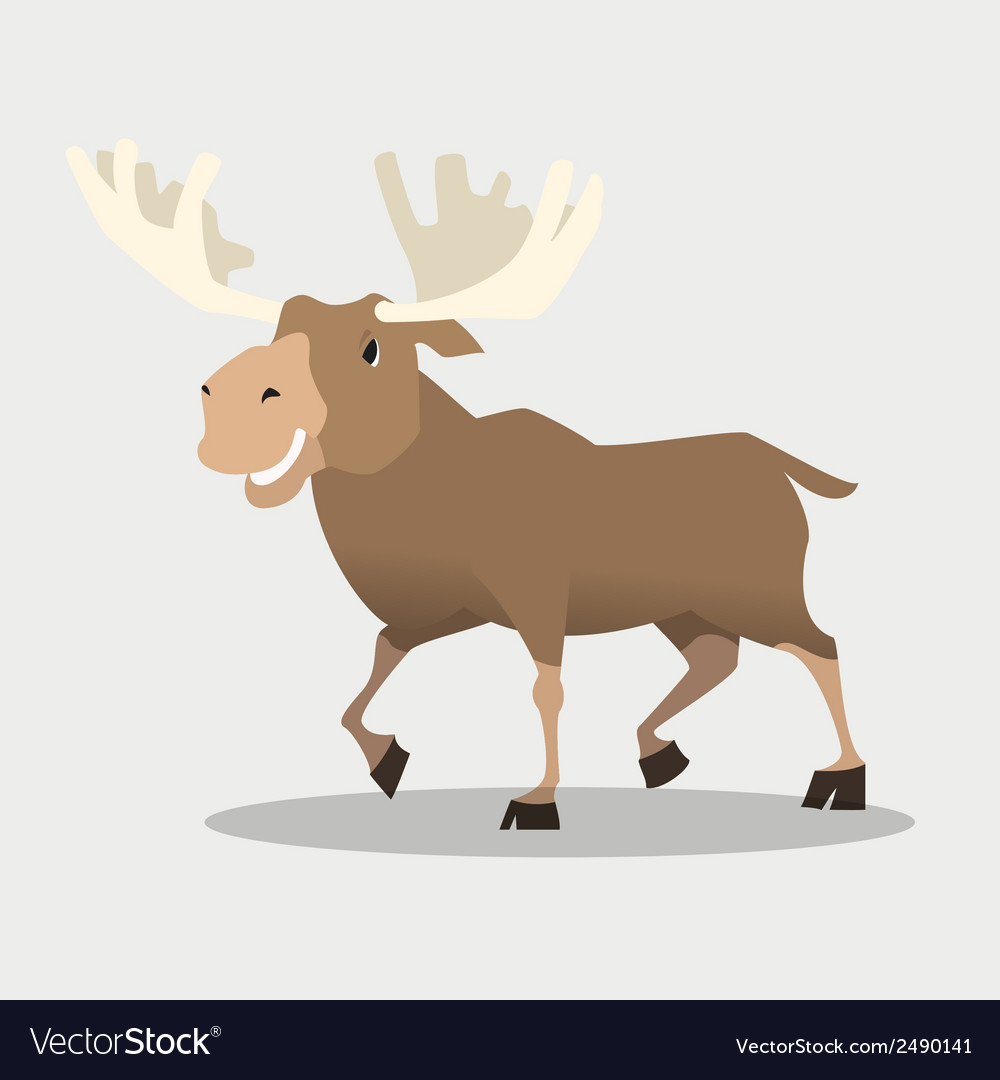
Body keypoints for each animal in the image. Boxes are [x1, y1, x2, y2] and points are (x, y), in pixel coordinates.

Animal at [67, 139, 865, 831]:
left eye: (372, 346)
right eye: (279, 327)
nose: (227, 402)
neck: (417, 500)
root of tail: (785, 463)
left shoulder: (537, 596)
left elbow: (546, 689)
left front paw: (536, 799)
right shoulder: (436, 608)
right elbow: (367, 679)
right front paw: (386, 757)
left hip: (763, 589)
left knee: (821, 646)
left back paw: (838, 778)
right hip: (685, 607)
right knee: (716, 657)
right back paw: (657, 750)